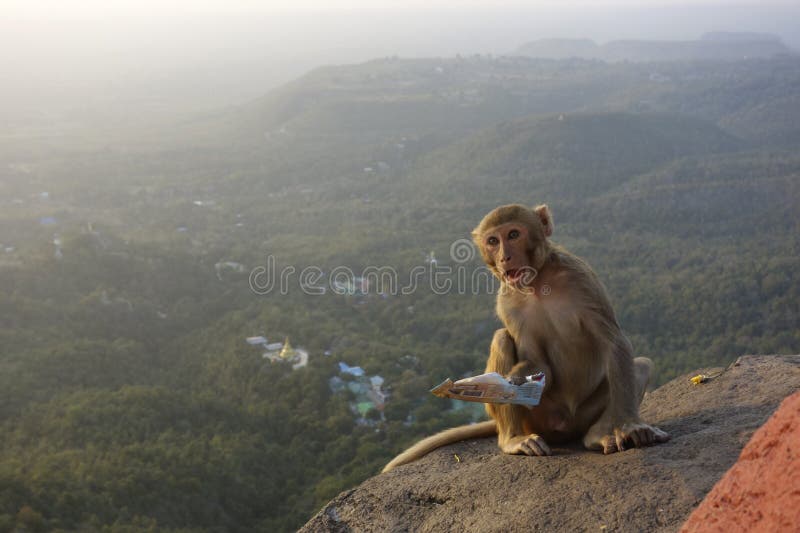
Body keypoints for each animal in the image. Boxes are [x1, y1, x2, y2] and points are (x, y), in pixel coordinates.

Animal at [383, 203, 668, 473]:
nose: (504, 257)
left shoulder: (581, 278)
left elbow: (613, 343)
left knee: (640, 365)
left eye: (513, 234)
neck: (538, 283)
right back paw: (513, 438)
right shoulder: (507, 302)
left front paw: (629, 426)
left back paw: (599, 434)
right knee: (501, 338)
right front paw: (511, 381)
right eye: (493, 241)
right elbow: (536, 362)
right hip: (536, 419)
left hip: (581, 415)